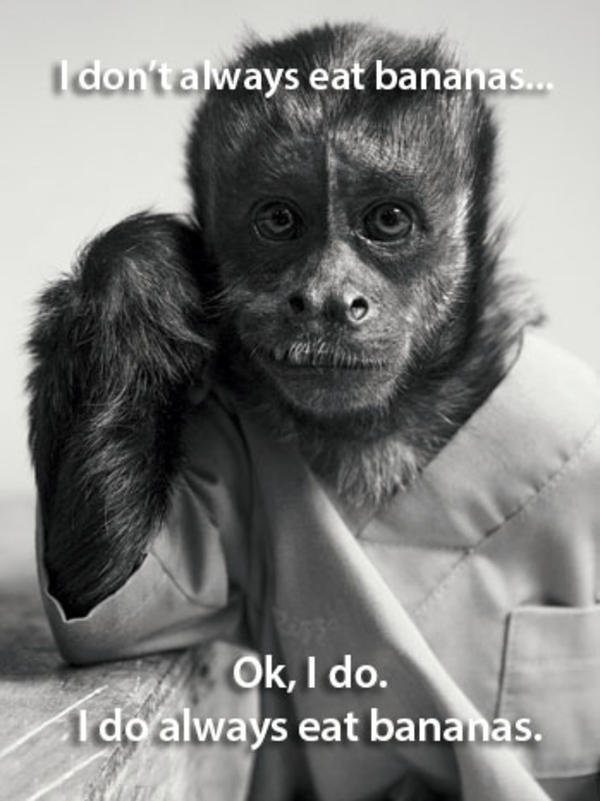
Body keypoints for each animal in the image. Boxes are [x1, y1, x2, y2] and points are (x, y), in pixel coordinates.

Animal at [27, 22, 600, 801]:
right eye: (279, 221)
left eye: (387, 220)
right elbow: (98, 584)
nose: (327, 299)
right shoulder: (227, 450)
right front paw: (138, 277)